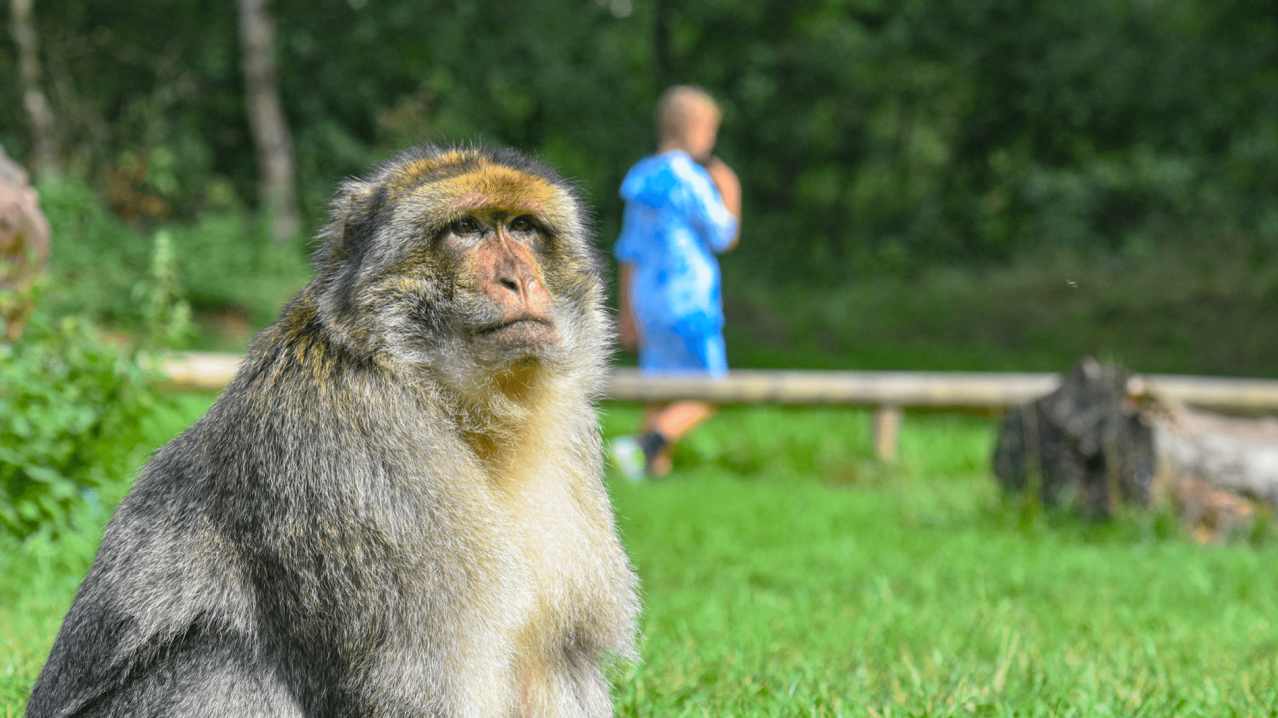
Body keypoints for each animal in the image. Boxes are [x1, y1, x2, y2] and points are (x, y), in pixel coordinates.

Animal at [26, 146, 640, 717]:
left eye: (524, 228)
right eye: (466, 229)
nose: (520, 279)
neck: (439, 394)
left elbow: (561, 661)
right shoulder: (357, 458)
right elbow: (415, 683)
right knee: (222, 662)